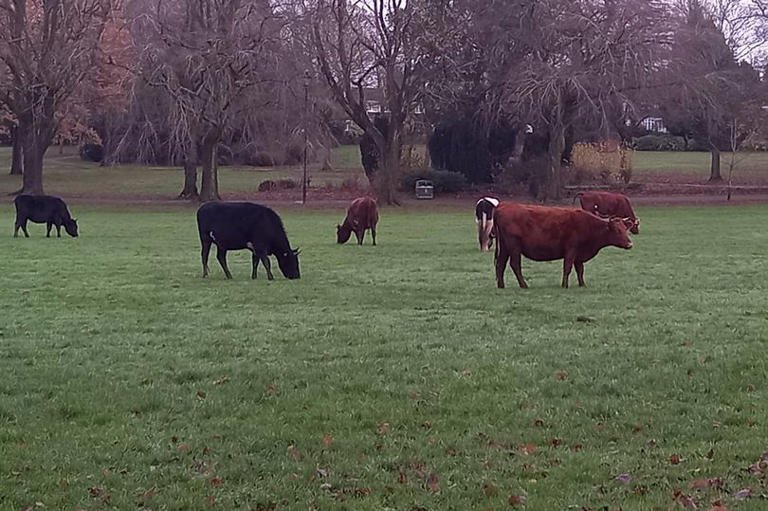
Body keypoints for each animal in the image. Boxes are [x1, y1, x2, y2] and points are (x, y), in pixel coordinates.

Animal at [493, 203, 633, 289]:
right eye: (617, 230)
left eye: (625, 229)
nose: (630, 244)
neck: (588, 225)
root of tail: (503, 205)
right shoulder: (571, 250)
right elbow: (567, 268)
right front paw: (564, 285)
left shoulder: (578, 254)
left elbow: (580, 270)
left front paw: (582, 284)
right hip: (514, 246)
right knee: (515, 265)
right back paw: (524, 285)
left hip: (505, 247)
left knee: (500, 264)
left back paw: (501, 286)